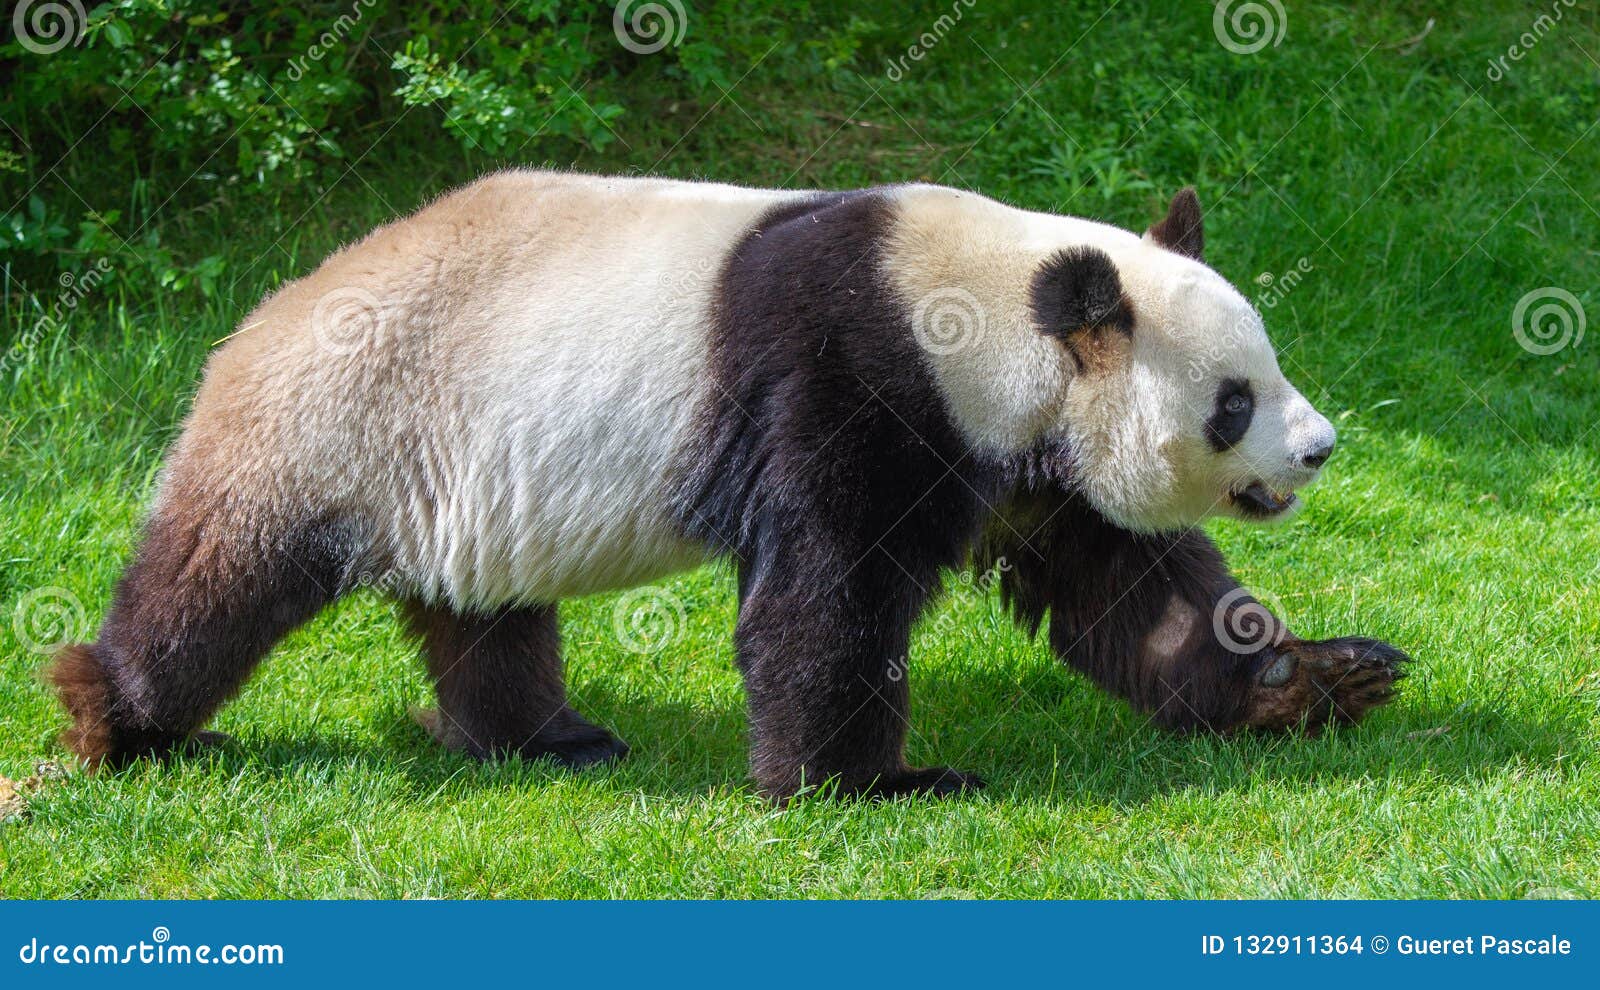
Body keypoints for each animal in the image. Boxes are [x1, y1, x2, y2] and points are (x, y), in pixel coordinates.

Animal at [51, 172, 1408, 799]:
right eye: (1233, 400)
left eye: (1269, 369)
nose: (1319, 448)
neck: (990, 308)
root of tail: (260, 313)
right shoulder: (857, 377)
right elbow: (827, 594)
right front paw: (870, 785)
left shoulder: (1028, 450)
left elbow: (1127, 586)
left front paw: (1314, 680)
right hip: (336, 422)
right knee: (217, 582)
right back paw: (116, 717)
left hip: (458, 466)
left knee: (483, 615)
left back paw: (548, 738)